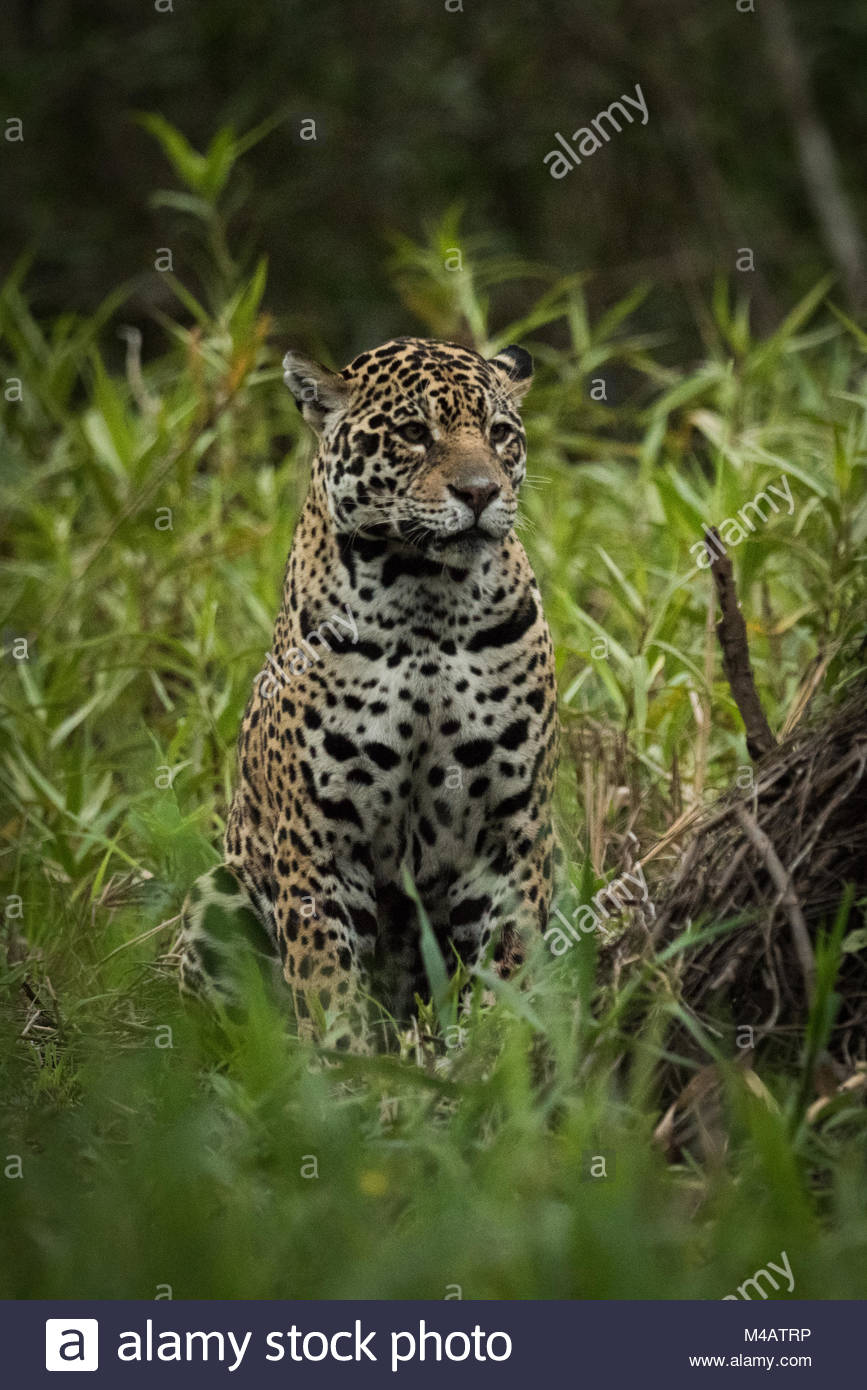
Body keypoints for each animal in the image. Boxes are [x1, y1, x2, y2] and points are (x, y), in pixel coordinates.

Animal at [177, 336, 559, 1051]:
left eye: (499, 434)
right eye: (413, 434)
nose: (480, 492)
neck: (427, 598)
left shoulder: (513, 826)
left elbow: (508, 964)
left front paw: (495, 1054)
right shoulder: (320, 837)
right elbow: (326, 982)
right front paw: (350, 1071)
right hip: (216, 890)